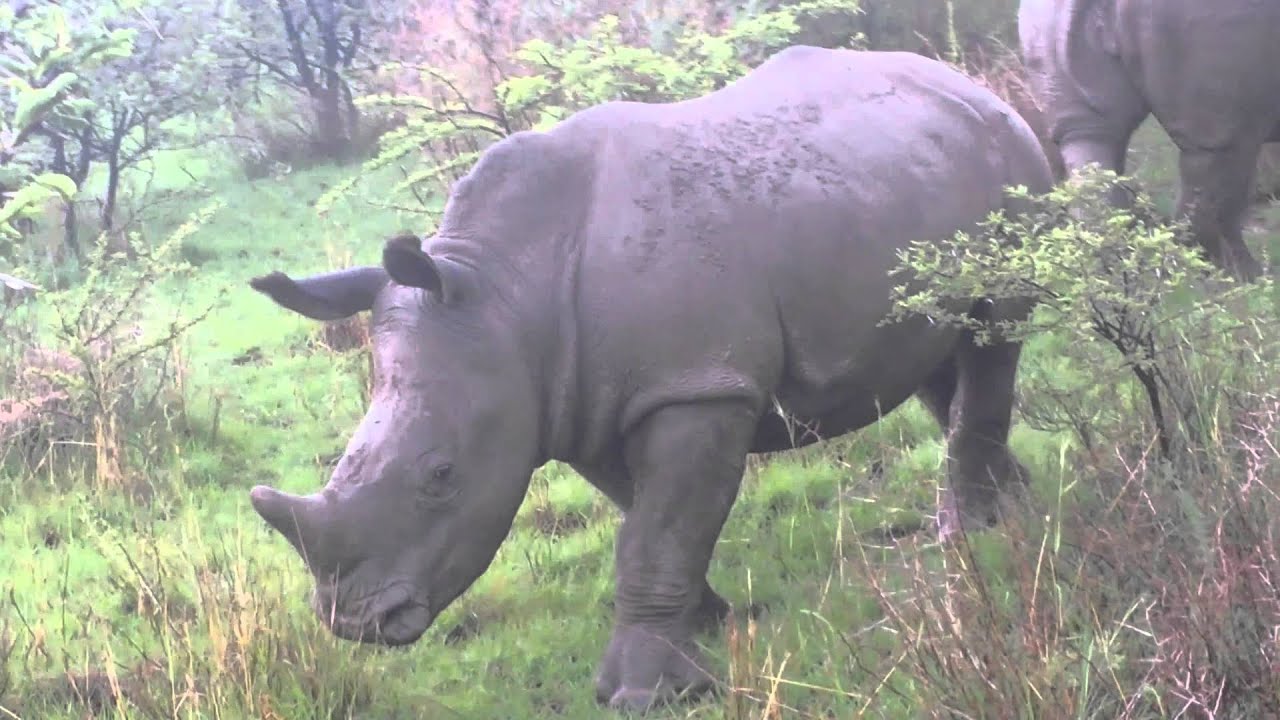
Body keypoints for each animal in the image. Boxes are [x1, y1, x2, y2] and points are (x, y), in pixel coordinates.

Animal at [246, 46, 1053, 712]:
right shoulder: (585, 402)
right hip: (902, 176)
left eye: (442, 476)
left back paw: (970, 535)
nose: (356, 623)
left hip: (1007, 159)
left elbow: (657, 534)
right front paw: (712, 620)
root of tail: (970, 82)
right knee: (944, 360)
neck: (508, 290)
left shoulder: (697, 386)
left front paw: (648, 694)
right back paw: (1014, 505)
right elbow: (651, 518)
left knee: (994, 331)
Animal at [1018, 0, 1280, 281]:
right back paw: (1244, 278)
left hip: (1044, 13)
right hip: (1210, 22)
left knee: (1091, 137)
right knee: (1224, 146)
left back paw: (1111, 268)